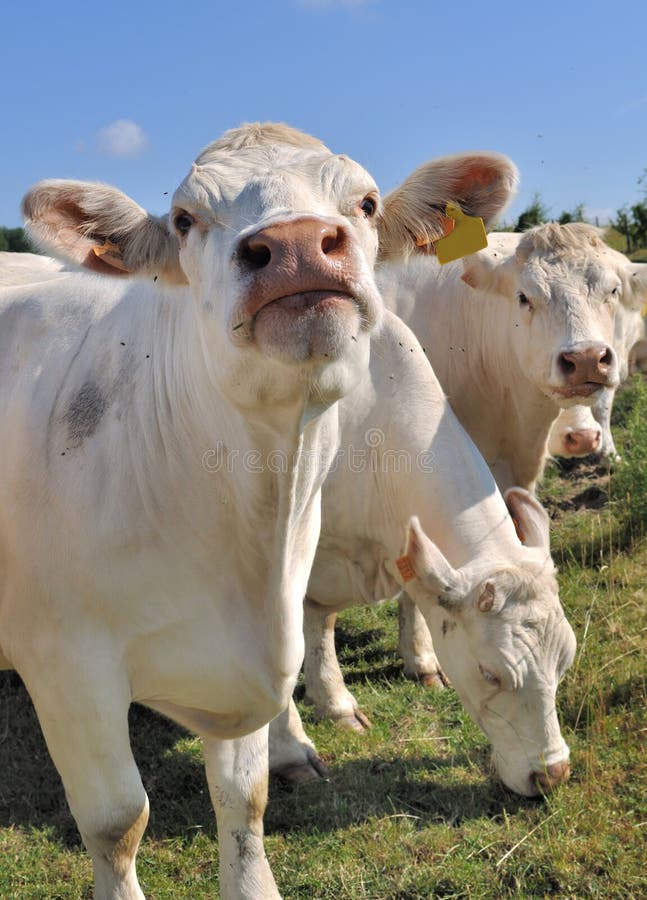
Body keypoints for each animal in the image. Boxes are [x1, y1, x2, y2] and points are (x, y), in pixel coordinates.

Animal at [0, 123, 518, 899]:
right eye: (185, 219)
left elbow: (244, 798)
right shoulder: (66, 664)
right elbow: (116, 822)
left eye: (366, 202)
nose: (298, 244)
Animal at [269, 310, 576, 800]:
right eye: (490, 673)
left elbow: (401, 598)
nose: (552, 774)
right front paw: (294, 746)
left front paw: (417, 665)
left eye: (565, 661)